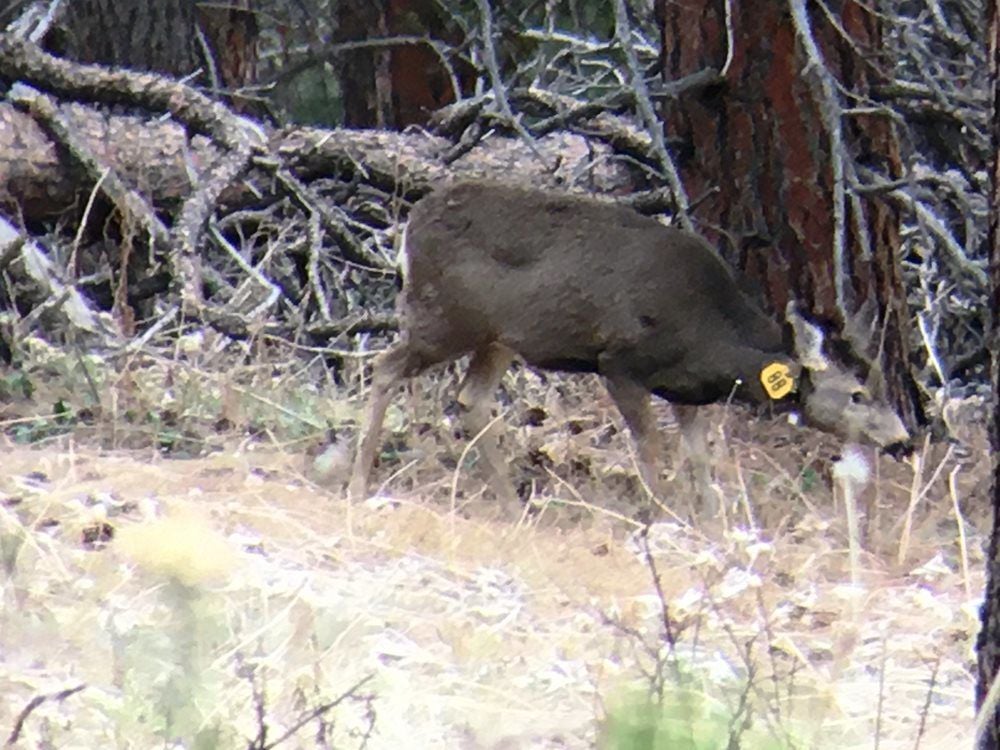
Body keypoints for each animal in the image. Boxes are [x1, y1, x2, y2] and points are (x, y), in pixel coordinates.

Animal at [349, 181, 912, 511]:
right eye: (858, 393)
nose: (902, 441)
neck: (712, 337)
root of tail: (409, 225)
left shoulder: (688, 392)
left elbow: (699, 461)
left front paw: (709, 528)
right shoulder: (620, 363)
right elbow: (651, 449)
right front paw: (660, 517)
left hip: (497, 337)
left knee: (471, 399)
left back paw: (511, 506)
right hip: (444, 319)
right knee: (385, 365)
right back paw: (356, 481)